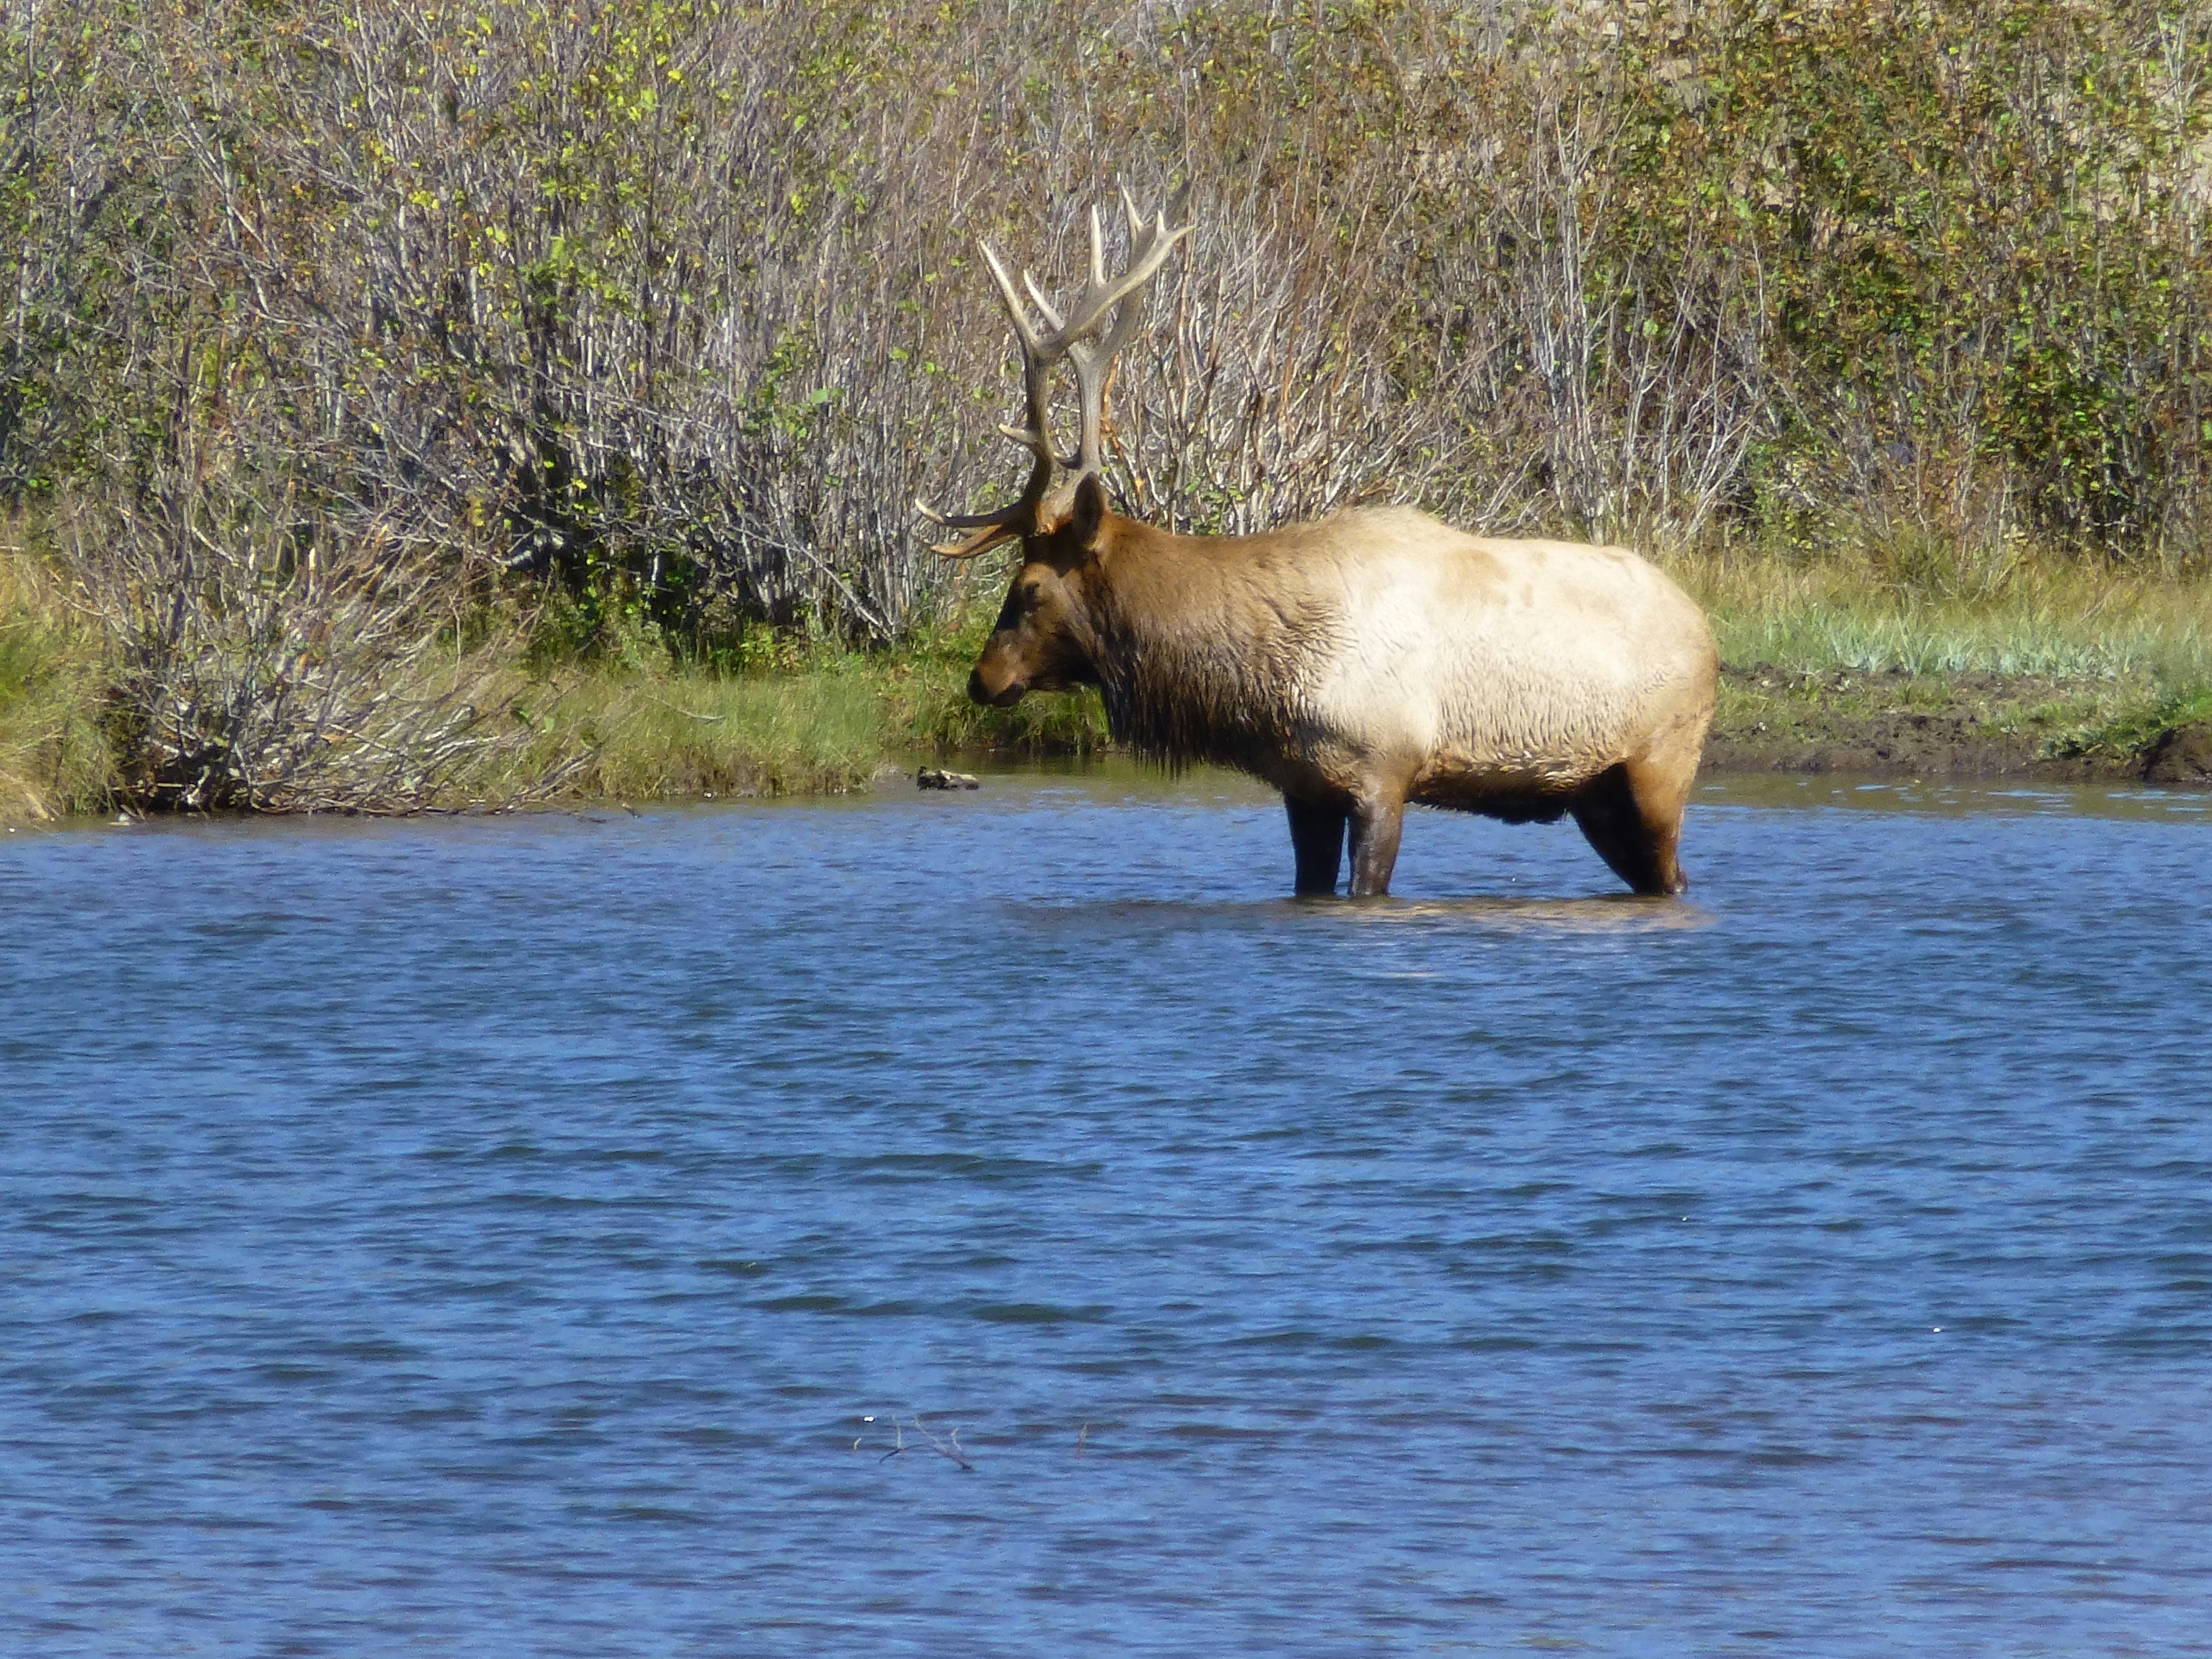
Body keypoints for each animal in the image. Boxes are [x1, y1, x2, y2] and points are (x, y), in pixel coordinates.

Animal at [917, 193, 1719, 899]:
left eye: (1028, 589)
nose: (982, 679)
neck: (1260, 675)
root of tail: (1704, 628)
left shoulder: (1385, 771)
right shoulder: (1305, 787)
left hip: (1660, 763)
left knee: (1675, 877)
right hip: (1594, 794)